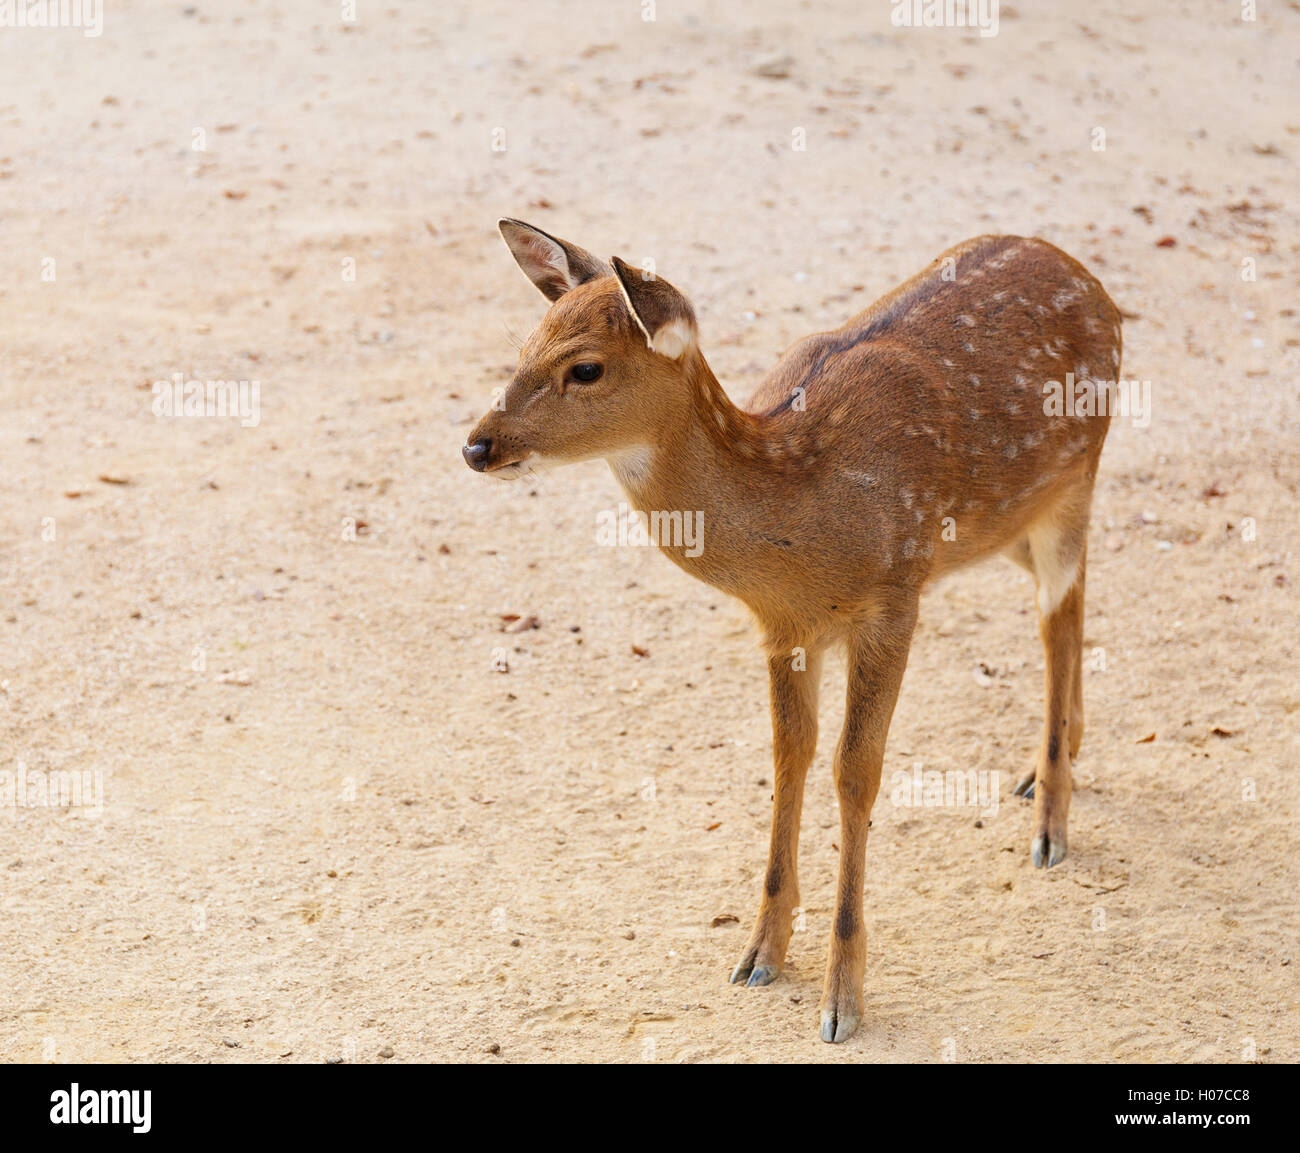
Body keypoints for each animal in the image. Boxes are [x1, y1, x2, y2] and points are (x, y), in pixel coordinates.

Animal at [463, 219, 1120, 1043]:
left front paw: (842, 1001)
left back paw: (1050, 824)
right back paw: (1047, 763)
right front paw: (758, 954)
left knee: (1058, 615)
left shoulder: (894, 597)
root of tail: (1093, 283)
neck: (802, 514)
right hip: (1007, 520)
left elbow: (853, 770)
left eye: (585, 367)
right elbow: (789, 757)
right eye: (524, 343)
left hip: (1077, 472)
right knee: (1068, 596)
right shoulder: (783, 628)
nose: (477, 445)